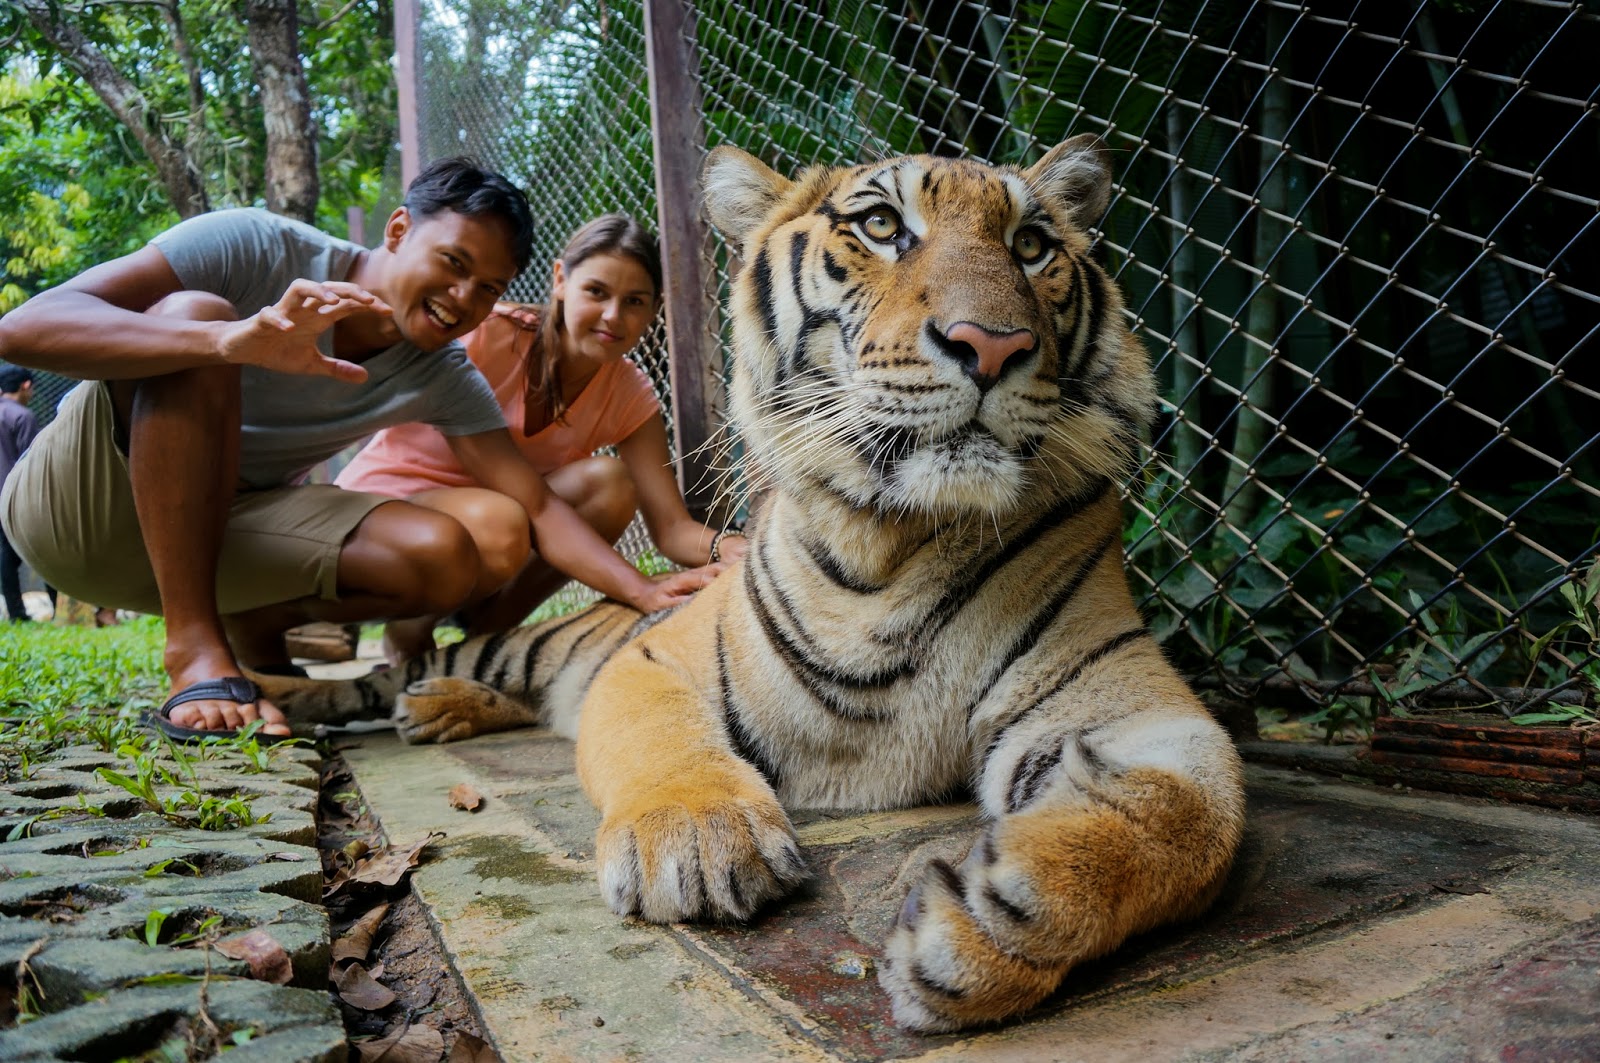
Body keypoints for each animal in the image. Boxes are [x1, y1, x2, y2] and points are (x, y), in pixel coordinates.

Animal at [258, 134, 1246, 1032]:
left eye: (1032, 244)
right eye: (881, 226)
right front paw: (693, 838)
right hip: (522, 640)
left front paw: (1002, 911)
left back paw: (433, 711)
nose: (994, 344)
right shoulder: (653, 656)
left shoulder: (1116, 687)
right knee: (408, 670)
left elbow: (1195, 812)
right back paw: (311, 701)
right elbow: (662, 736)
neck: (895, 534)